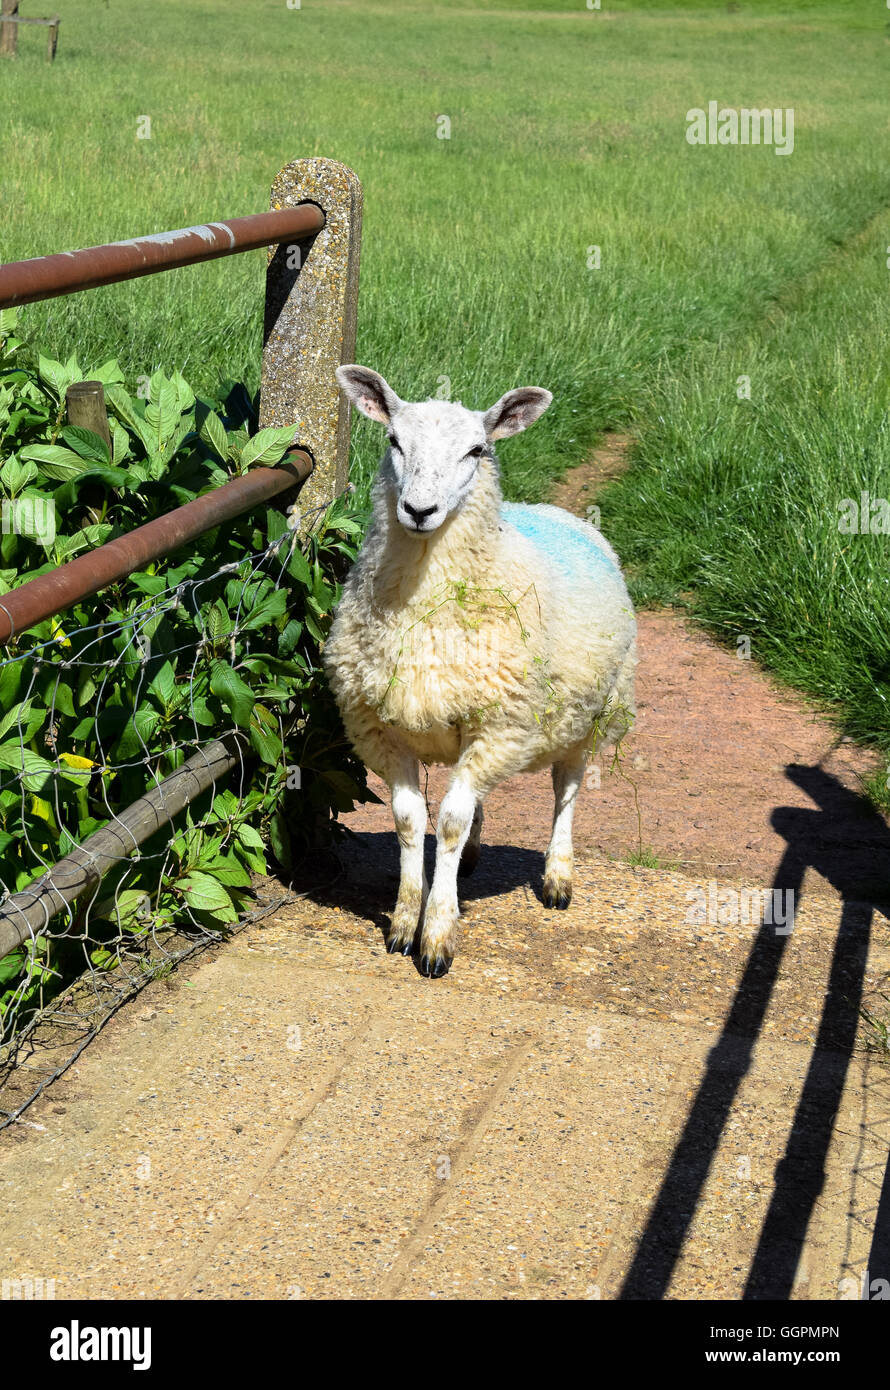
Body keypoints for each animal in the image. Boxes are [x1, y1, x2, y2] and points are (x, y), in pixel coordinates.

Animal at [323, 365, 637, 978]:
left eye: (476, 450)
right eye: (394, 441)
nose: (419, 510)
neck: (426, 601)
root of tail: (551, 510)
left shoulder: (499, 727)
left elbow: (446, 821)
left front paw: (437, 936)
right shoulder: (381, 729)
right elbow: (410, 820)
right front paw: (404, 921)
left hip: (589, 713)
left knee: (566, 790)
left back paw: (557, 876)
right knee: (472, 803)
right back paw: (469, 857)